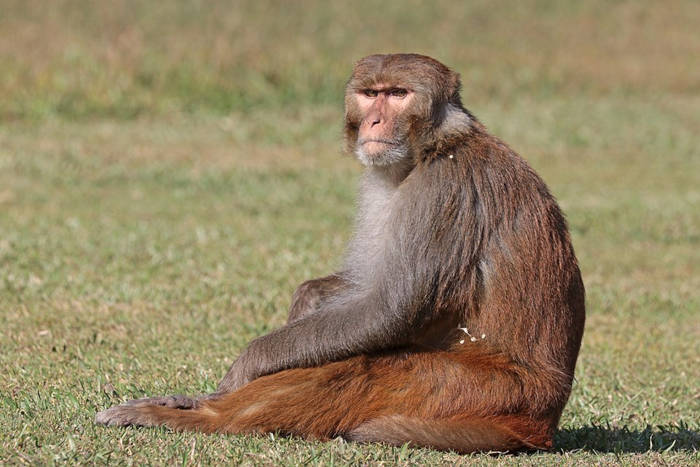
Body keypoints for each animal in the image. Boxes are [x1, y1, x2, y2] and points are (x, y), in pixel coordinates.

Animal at [95, 53, 585, 454]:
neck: (431, 150)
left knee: (358, 369)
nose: (374, 124)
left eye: (398, 94)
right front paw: (307, 297)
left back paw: (202, 417)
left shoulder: (443, 190)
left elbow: (388, 309)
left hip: (476, 391)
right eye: (371, 95)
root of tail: (542, 422)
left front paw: (244, 369)